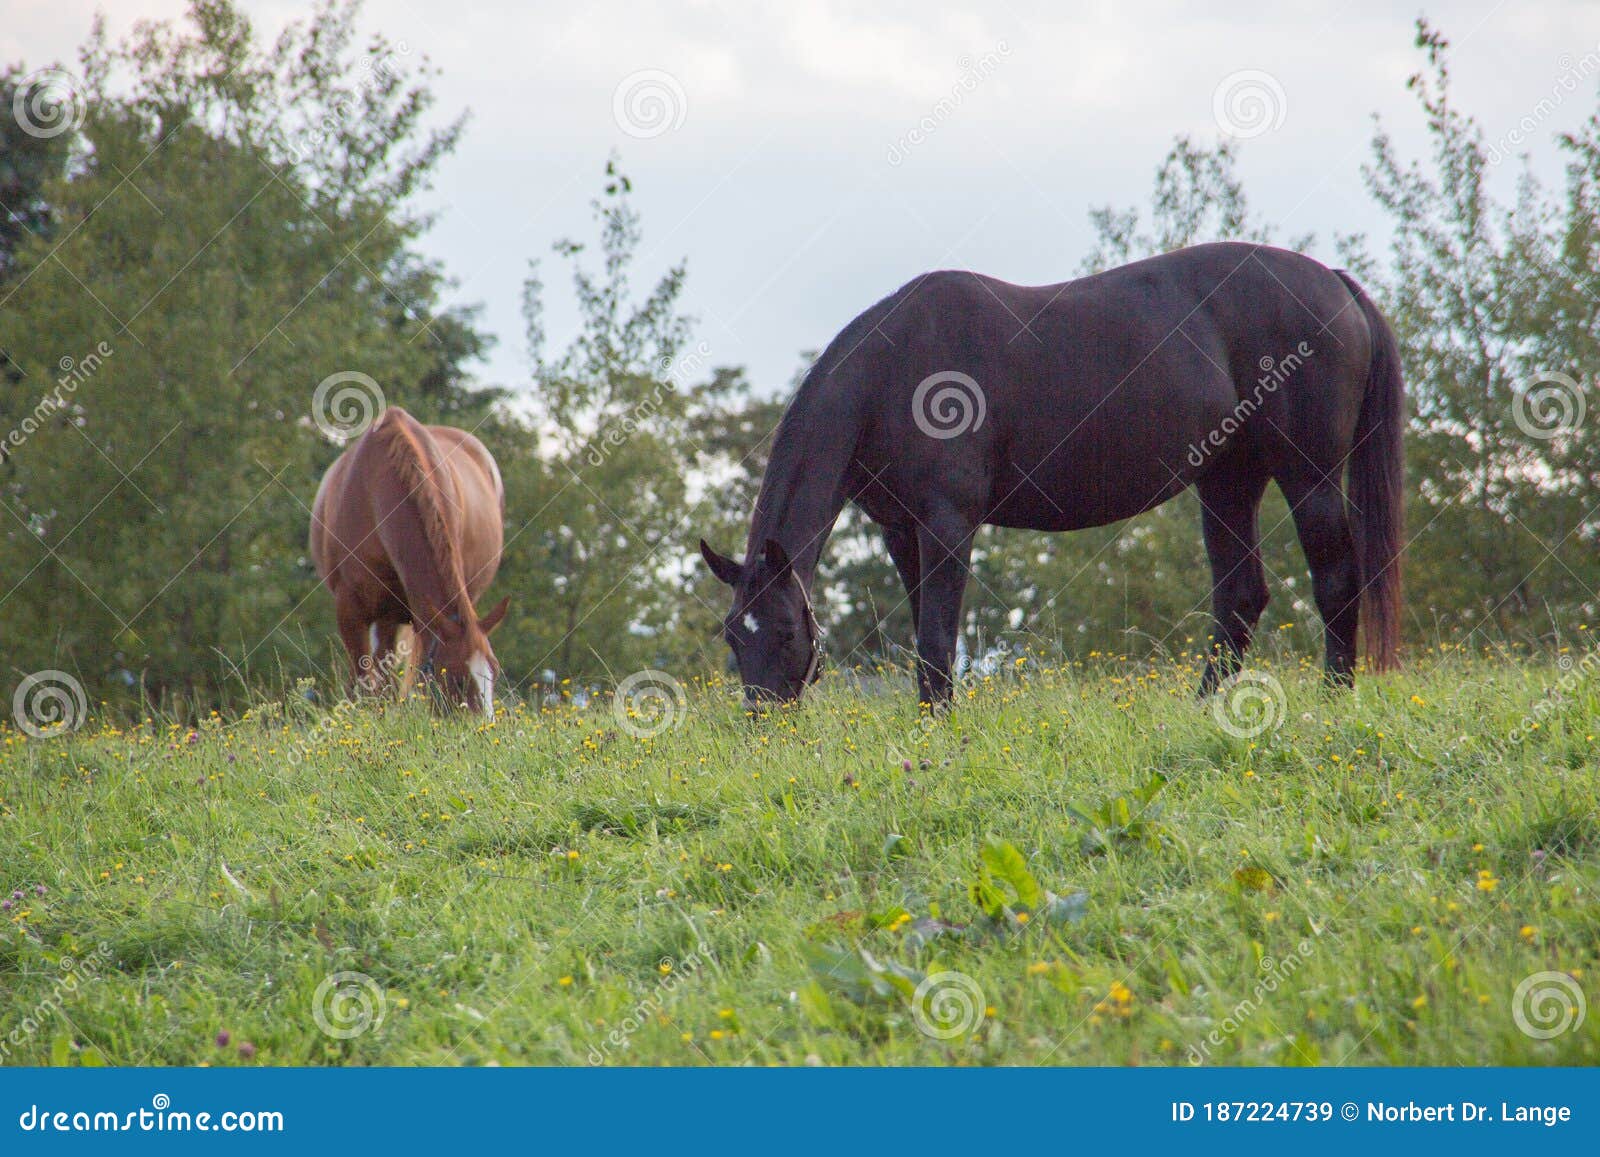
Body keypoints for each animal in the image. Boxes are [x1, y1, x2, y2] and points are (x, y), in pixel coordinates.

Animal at [700, 242, 1404, 708]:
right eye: (733, 635)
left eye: (784, 630)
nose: (764, 723)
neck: (894, 376)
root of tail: (1335, 284)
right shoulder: (902, 531)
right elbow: (924, 626)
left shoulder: (949, 525)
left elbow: (937, 636)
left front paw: (936, 725)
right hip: (1228, 482)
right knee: (1241, 596)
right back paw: (1203, 707)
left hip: (1308, 475)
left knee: (1336, 580)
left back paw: (1333, 697)